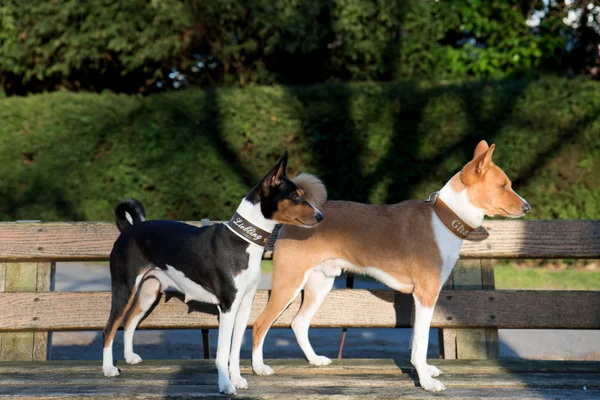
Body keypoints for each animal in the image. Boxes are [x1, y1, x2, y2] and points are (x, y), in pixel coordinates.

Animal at [102, 152, 324, 394]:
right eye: (295, 197)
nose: (320, 216)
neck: (243, 241)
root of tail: (129, 229)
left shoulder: (243, 305)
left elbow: (234, 351)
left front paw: (237, 379)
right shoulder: (227, 307)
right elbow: (223, 352)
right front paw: (226, 384)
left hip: (148, 293)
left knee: (129, 321)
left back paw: (129, 357)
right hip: (124, 289)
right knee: (110, 328)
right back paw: (108, 369)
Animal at [251, 141, 532, 390]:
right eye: (504, 185)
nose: (528, 207)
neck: (443, 220)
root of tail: (299, 218)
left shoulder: (419, 298)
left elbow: (416, 340)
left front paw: (424, 371)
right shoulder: (426, 295)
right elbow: (420, 344)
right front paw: (427, 383)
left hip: (320, 284)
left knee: (299, 323)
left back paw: (314, 360)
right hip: (289, 284)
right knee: (260, 324)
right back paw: (258, 368)